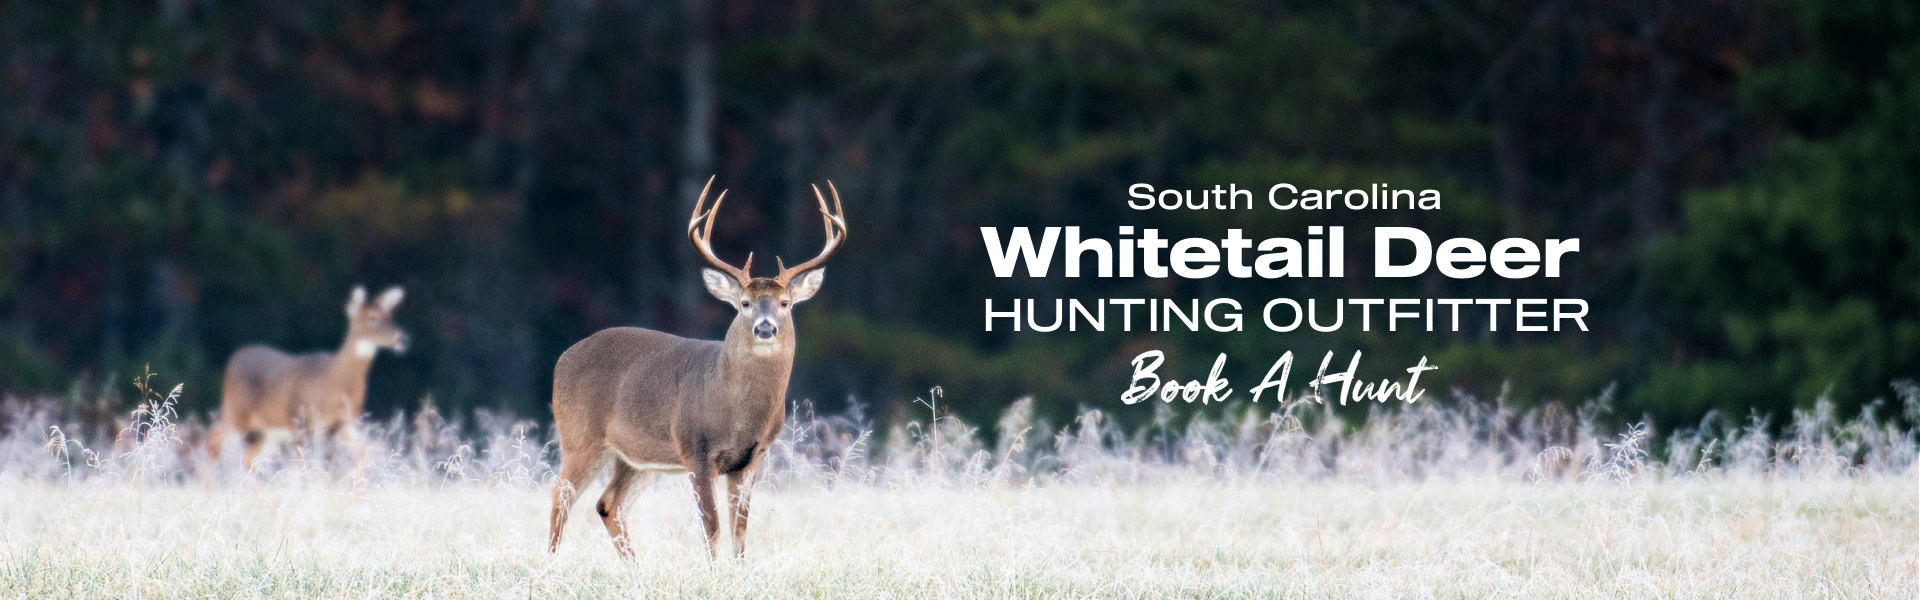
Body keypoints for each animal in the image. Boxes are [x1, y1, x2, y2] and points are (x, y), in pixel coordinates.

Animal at [210, 285, 409, 471]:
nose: (402, 339)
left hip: (270, 430)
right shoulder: (301, 420)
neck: (334, 382)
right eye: (372, 317)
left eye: (391, 316)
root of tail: (234, 358)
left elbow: (368, 451)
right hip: (237, 410)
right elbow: (306, 467)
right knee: (214, 438)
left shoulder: (346, 421)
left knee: (247, 458)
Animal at [547, 177, 845, 559]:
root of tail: (562, 359)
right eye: (744, 303)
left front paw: (738, 570)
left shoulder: (751, 458)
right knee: (560, 496)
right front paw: (713, 570)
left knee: (608, 504)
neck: (734, 408)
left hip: (636, 456)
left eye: (785, 303)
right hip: (579, 435)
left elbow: (739, 533)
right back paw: (550, 564)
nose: (765, 328)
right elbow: (712, 528)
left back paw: (636, 567)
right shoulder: (697, 450)